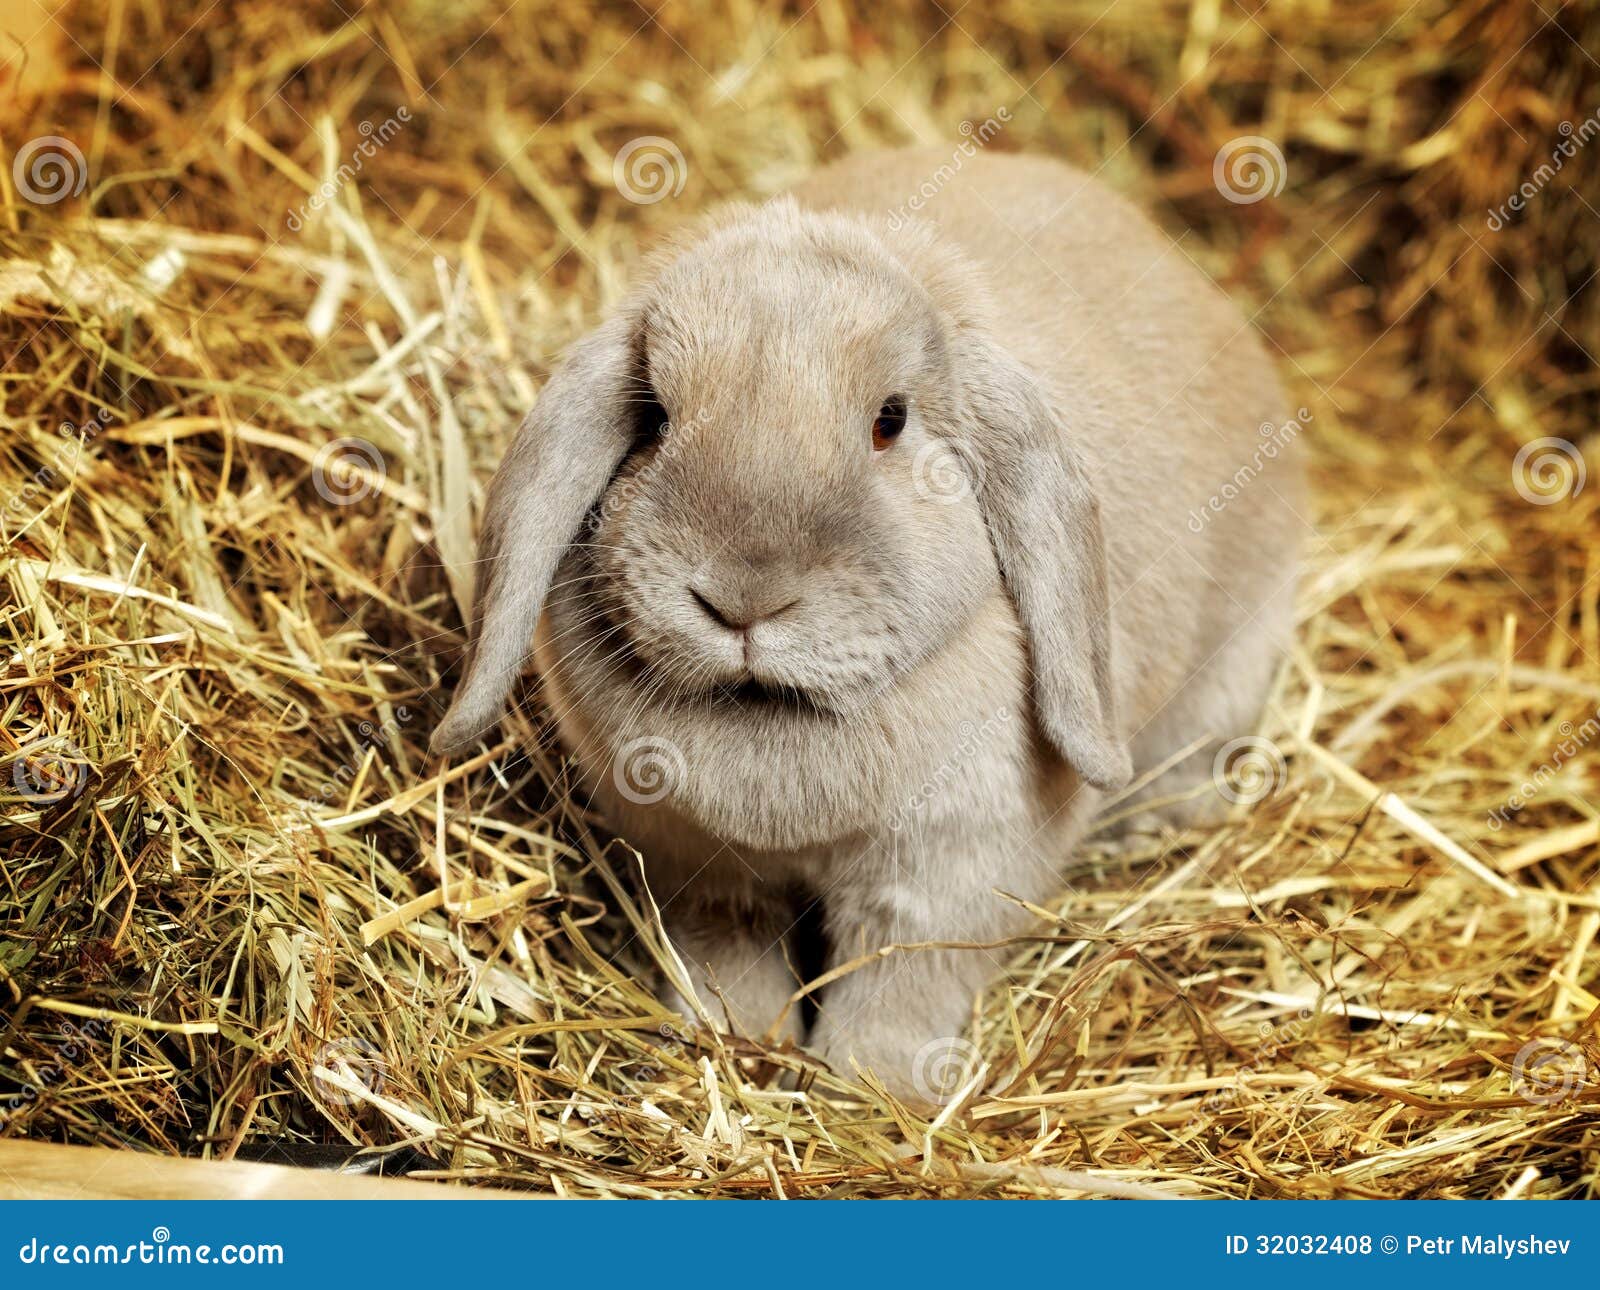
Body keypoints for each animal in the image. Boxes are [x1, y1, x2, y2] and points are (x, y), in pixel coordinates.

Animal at [429, 147, 1305, 1104]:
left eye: (891, 420)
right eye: (653, 417)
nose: (744, 598)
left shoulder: (946, 874)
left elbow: (899, 984)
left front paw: (871, 1092)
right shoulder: (699, 877)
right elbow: (727, 959)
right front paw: (736, 1046)